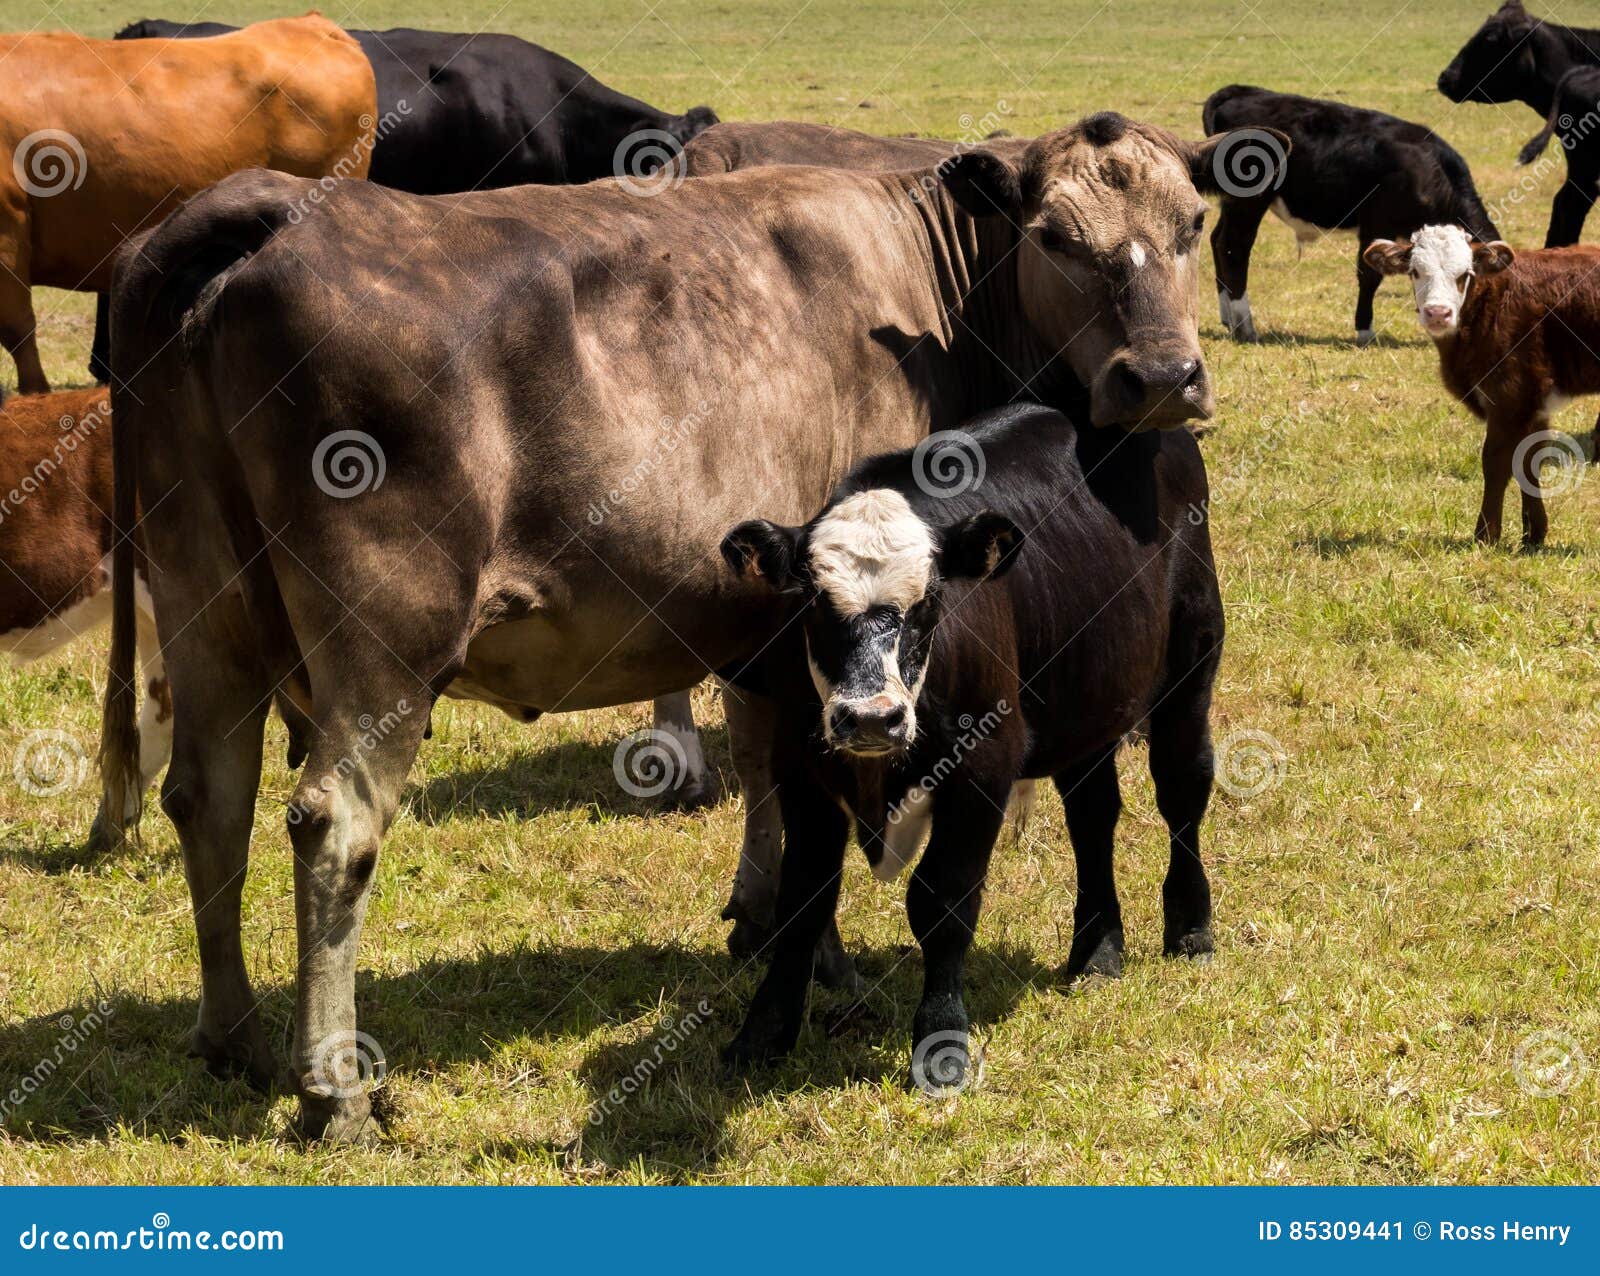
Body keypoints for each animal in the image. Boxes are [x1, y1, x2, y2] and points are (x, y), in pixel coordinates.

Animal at [718, 401, 1222, 1090]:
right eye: (812, 603)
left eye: (930, 600)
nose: (871, 718)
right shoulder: (800, 769)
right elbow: (800, 904)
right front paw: (760, 1037)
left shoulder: (984, 768)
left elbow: (943, 902)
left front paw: (941, 1043)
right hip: (1085, 708)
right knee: (1093, 817)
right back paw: (1096, 950)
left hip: (1192, 665)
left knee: (1183, 791)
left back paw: (1192, 930)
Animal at [1201, 85, 1499, 345]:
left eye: (1465, 275)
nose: (1443, 317)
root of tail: (1246, 92)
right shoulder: (1377, 223)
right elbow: (1369, 276)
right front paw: (1365, 331)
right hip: (1248, 203)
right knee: (1234, 248)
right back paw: (1245, 326)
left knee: (1217, 240)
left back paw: (1228, 318)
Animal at [1365, 225, 1599, 547]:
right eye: (1415, 271)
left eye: (1465, 274)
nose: (1438, 313)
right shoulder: (1534, 404)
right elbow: (1529, 459)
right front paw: (1533, 535)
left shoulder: (1511, 394)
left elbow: (1497, 462)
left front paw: (1486, 535)